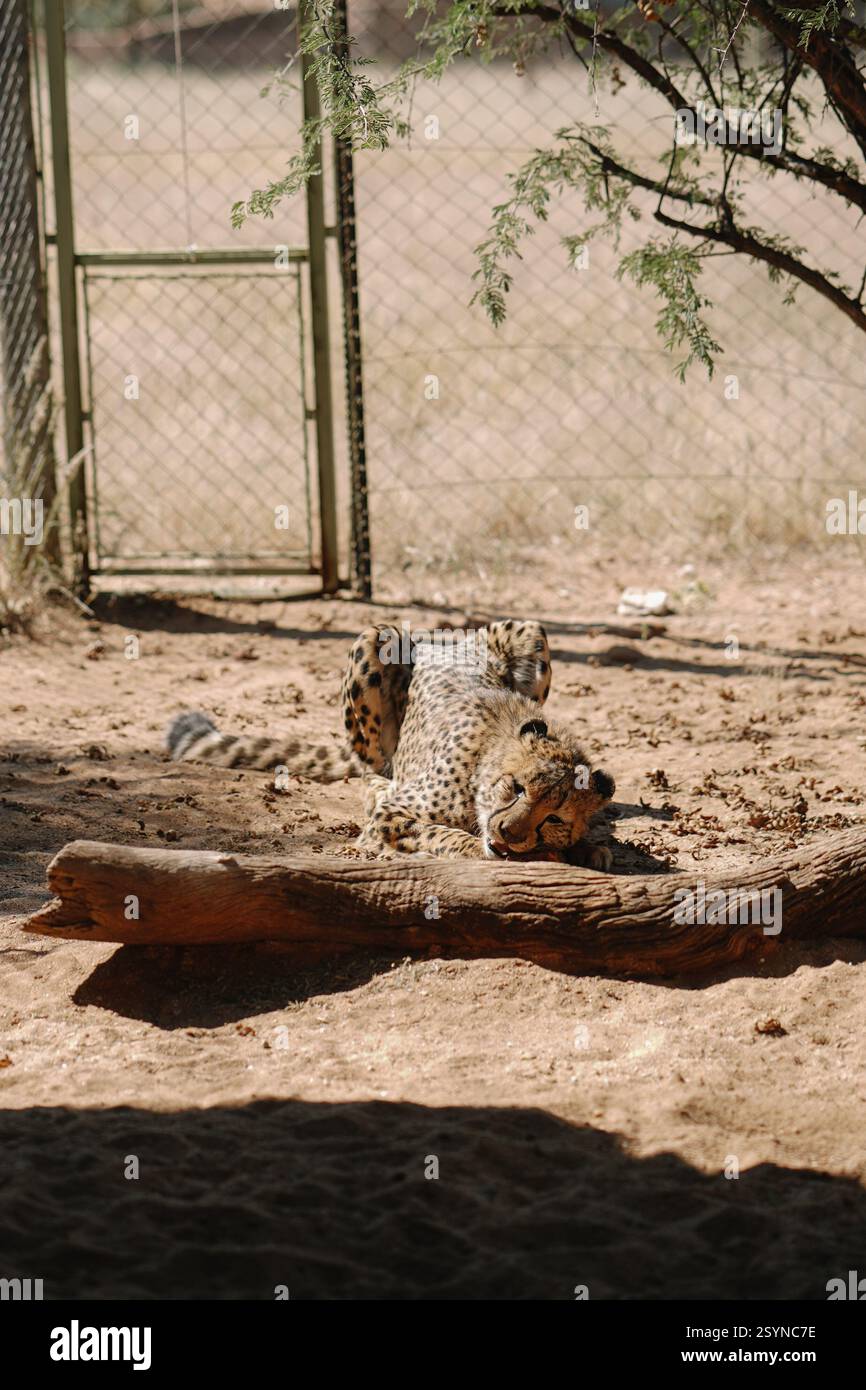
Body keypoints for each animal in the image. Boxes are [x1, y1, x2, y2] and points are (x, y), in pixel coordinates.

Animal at [166, 618, 616, 865]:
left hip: (531, 631)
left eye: (555, 816)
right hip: (378, 637)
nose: (507, 830)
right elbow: (442, 834)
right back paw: (379, 784)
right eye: (516, 786)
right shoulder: (391, 818)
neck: (490, 753)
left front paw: (588, 848)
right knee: (370, 769)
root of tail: (445, 644)